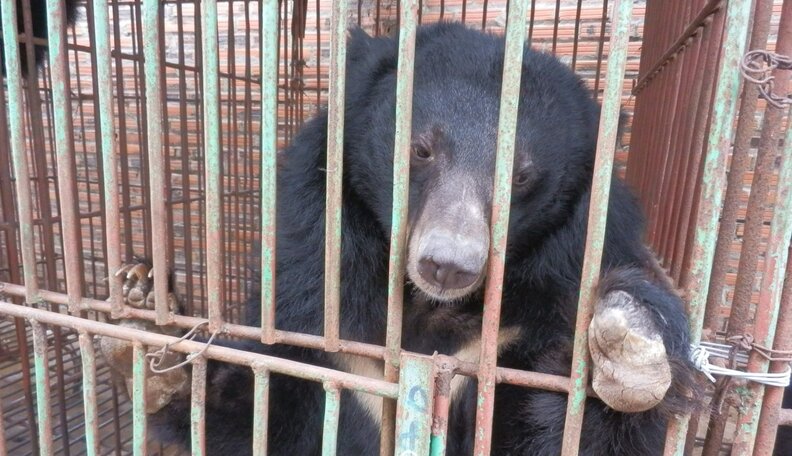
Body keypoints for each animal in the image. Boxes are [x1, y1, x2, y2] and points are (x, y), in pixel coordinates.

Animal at [100, 22, 698, 455]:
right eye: (421, 150)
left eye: (522, 178)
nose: (447, 264)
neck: (426, 307)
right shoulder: (320, 325)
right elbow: (258, 413)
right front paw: (147, 328)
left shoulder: (521, 326)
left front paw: (629, 343)